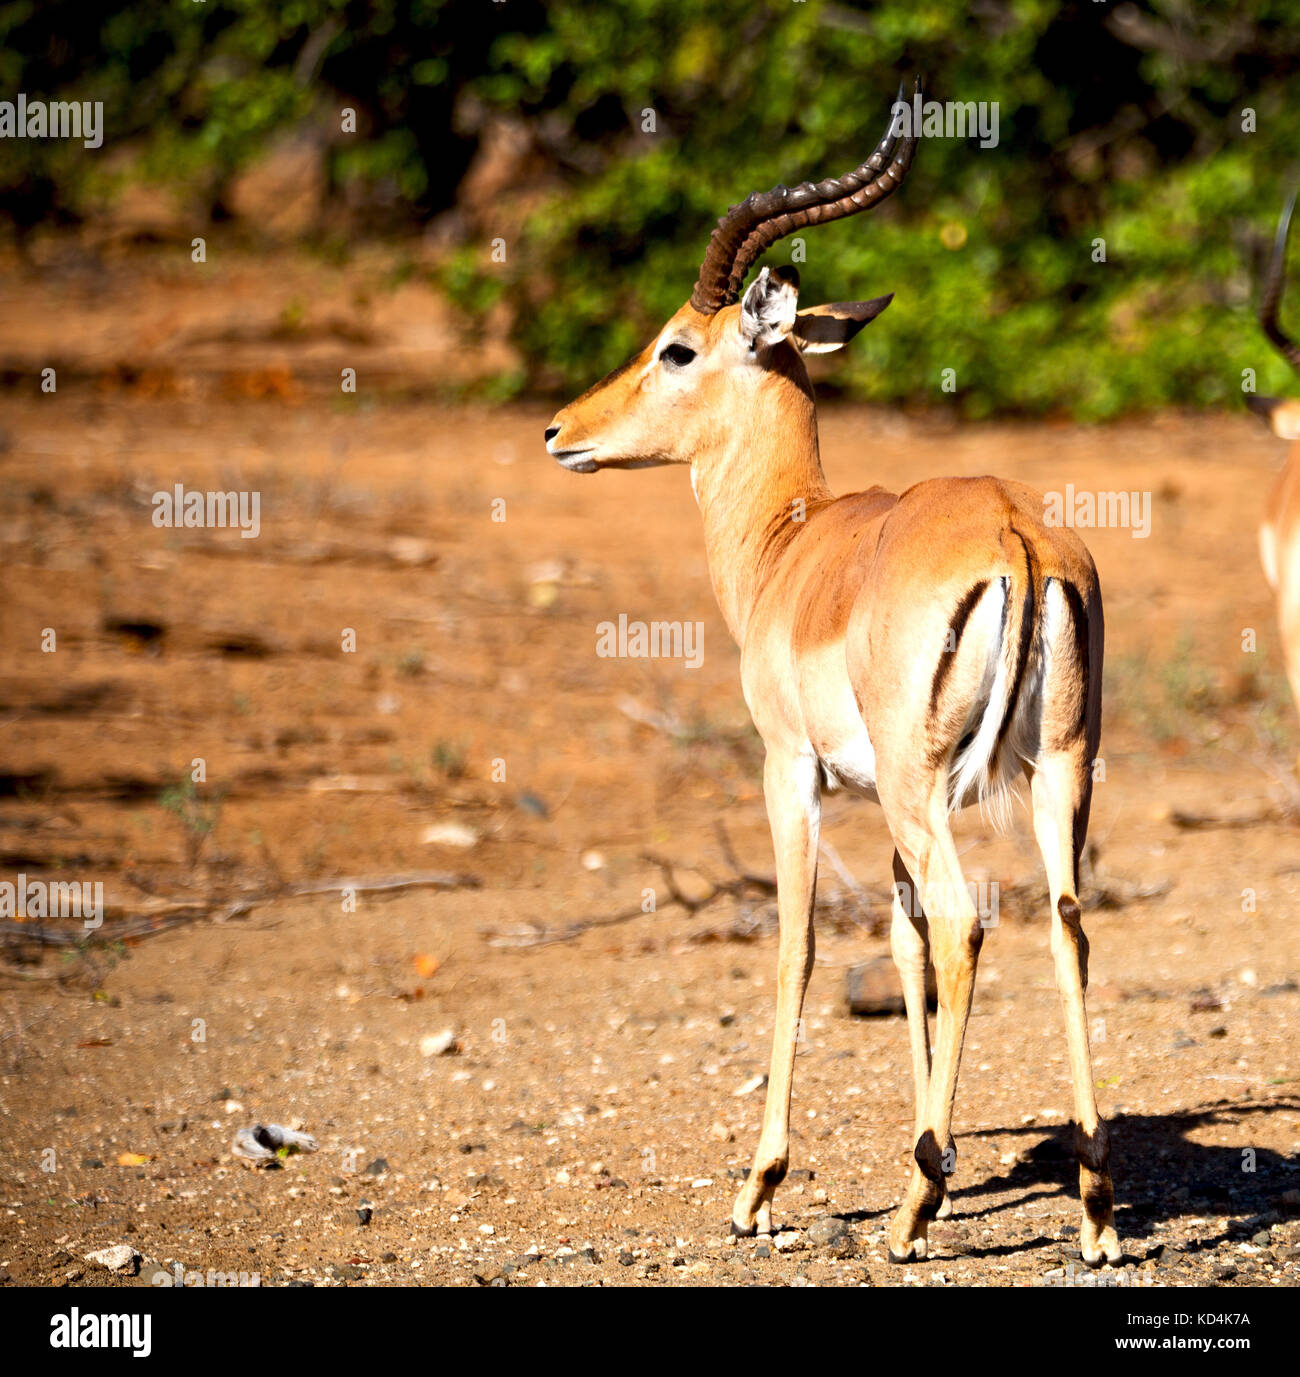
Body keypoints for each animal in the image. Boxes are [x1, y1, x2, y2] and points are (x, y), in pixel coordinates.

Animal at [545, 85, 1119, 1267]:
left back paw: (910, 1214)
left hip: (922, 786)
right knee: (1063, 922)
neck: (790, 541)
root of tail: (1016, 534)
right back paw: (1089, 1209)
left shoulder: (790, 771)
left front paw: (760, 1186)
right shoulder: (891, 804)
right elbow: (899, 951)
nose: (560, 429)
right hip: (1053, 776)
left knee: (967, 920)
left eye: (676, 349)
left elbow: (800, 943)